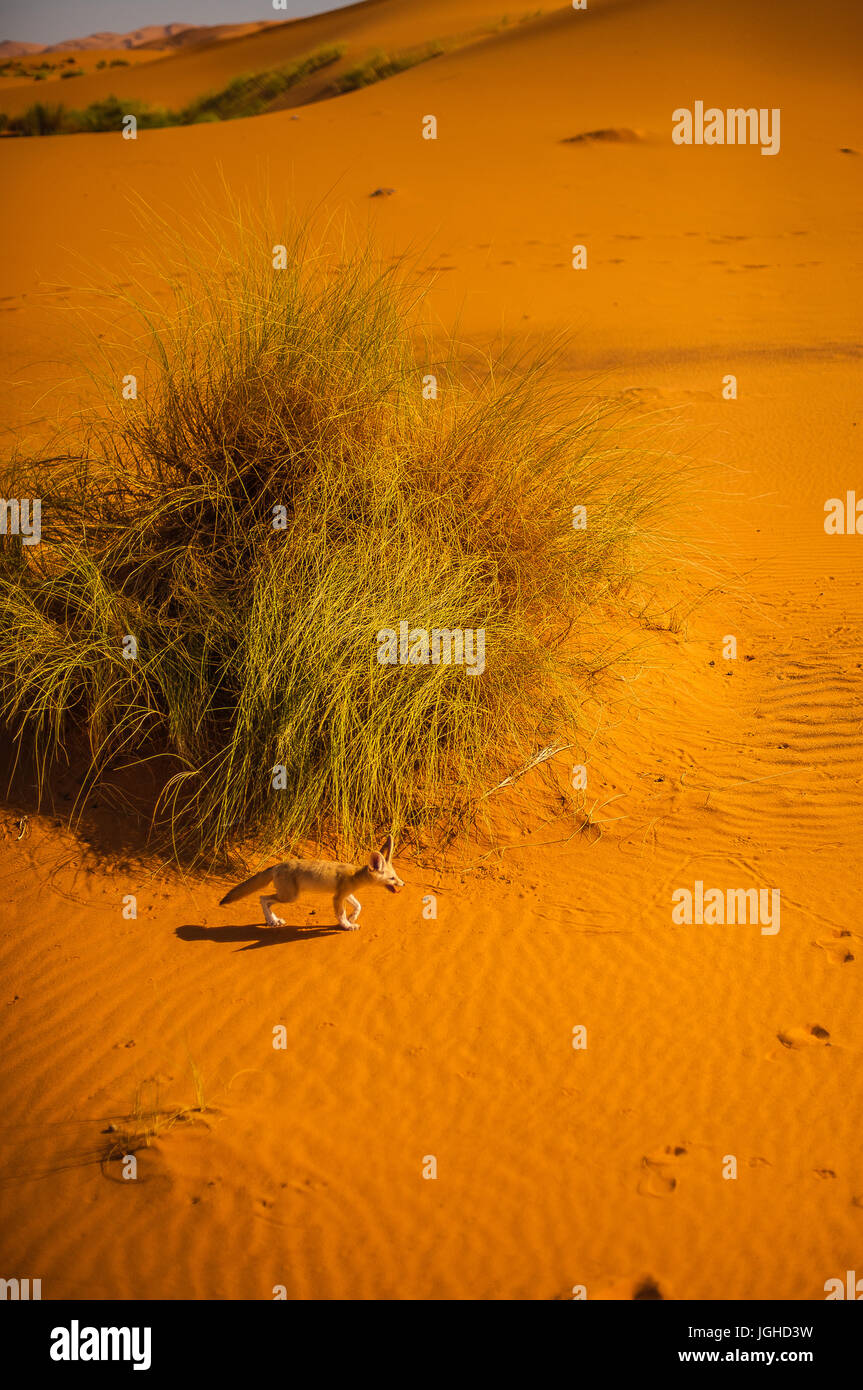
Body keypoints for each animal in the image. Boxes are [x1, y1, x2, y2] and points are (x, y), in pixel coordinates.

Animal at [219, 835, 404, 931]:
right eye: (392, 879)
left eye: (396, 876)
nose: (403, 885)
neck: (354, 875)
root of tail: (277, 865)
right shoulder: (337, 897)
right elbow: (341, 914)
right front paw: (346, 925)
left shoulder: (345, 893)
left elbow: (358, 906)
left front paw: (352, 918)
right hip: (290, 897)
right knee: (263, 898)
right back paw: (271, 921)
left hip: (286, 896)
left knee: (266, 900)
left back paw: (273, 920)